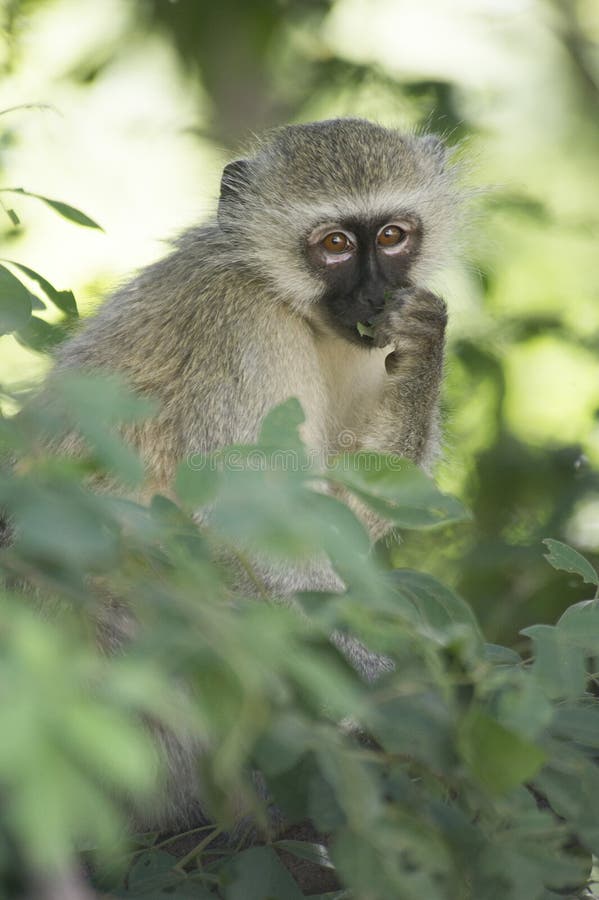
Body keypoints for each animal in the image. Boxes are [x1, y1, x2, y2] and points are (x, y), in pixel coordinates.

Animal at [9, 118, 464, 838]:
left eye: (392, 235)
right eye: (335, 245)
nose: (373, 297)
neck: (285, 299)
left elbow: (343, 515)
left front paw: (425, 344)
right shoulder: (241, 330)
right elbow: (252, 526)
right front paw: (381, 699)